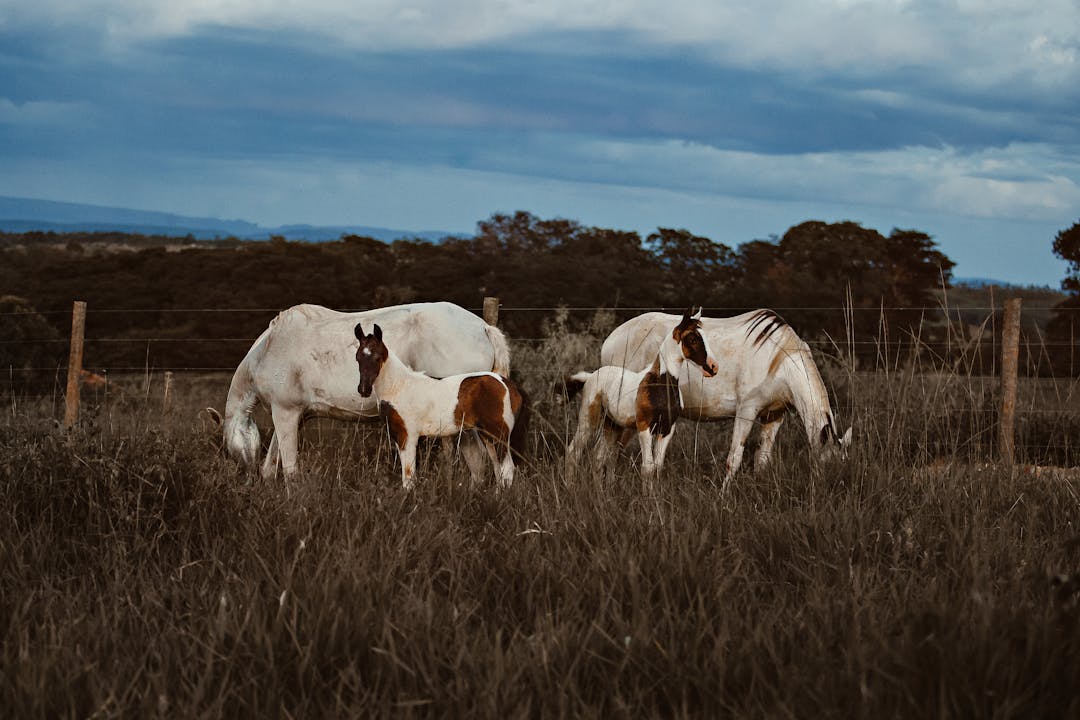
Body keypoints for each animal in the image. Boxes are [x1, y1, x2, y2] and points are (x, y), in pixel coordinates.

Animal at [209, 302, 510, 480]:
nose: (245, 476)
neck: (268, 348)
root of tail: (483, 327)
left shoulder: (285, 412)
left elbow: (290, 467)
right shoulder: (292, 415)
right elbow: (272, 462)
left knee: (478, 459)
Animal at [354, 322, 529, 490]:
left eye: (377, 357)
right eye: (358, 358)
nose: (363, 389)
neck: (398, 386)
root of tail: (509, 386)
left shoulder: (408, 435)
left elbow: (409, 476)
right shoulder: (398, 436)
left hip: (499, 434)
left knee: (507, 469)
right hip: (488, 435)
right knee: (497, 468)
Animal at [564, 308, 719, 480]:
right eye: (692, 339)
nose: (713, 367)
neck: (660, 384)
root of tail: (590, 377)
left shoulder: (667, 429)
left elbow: (657, 467)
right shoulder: (645, 427)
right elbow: (648, 468)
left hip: (612, 425)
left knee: (598, 457)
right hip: (588, 421)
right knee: (573, 452)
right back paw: (569, 484)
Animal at [600, 308, 851, 493]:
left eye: (842, 466)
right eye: (826, 466)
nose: (832, 493)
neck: (778, 359)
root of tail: (610, 340)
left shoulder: (774, 416)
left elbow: (762, 460)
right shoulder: (747, 410)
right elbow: (735, 458)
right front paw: (723, 497)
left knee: (612, 451)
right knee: (609, 451)